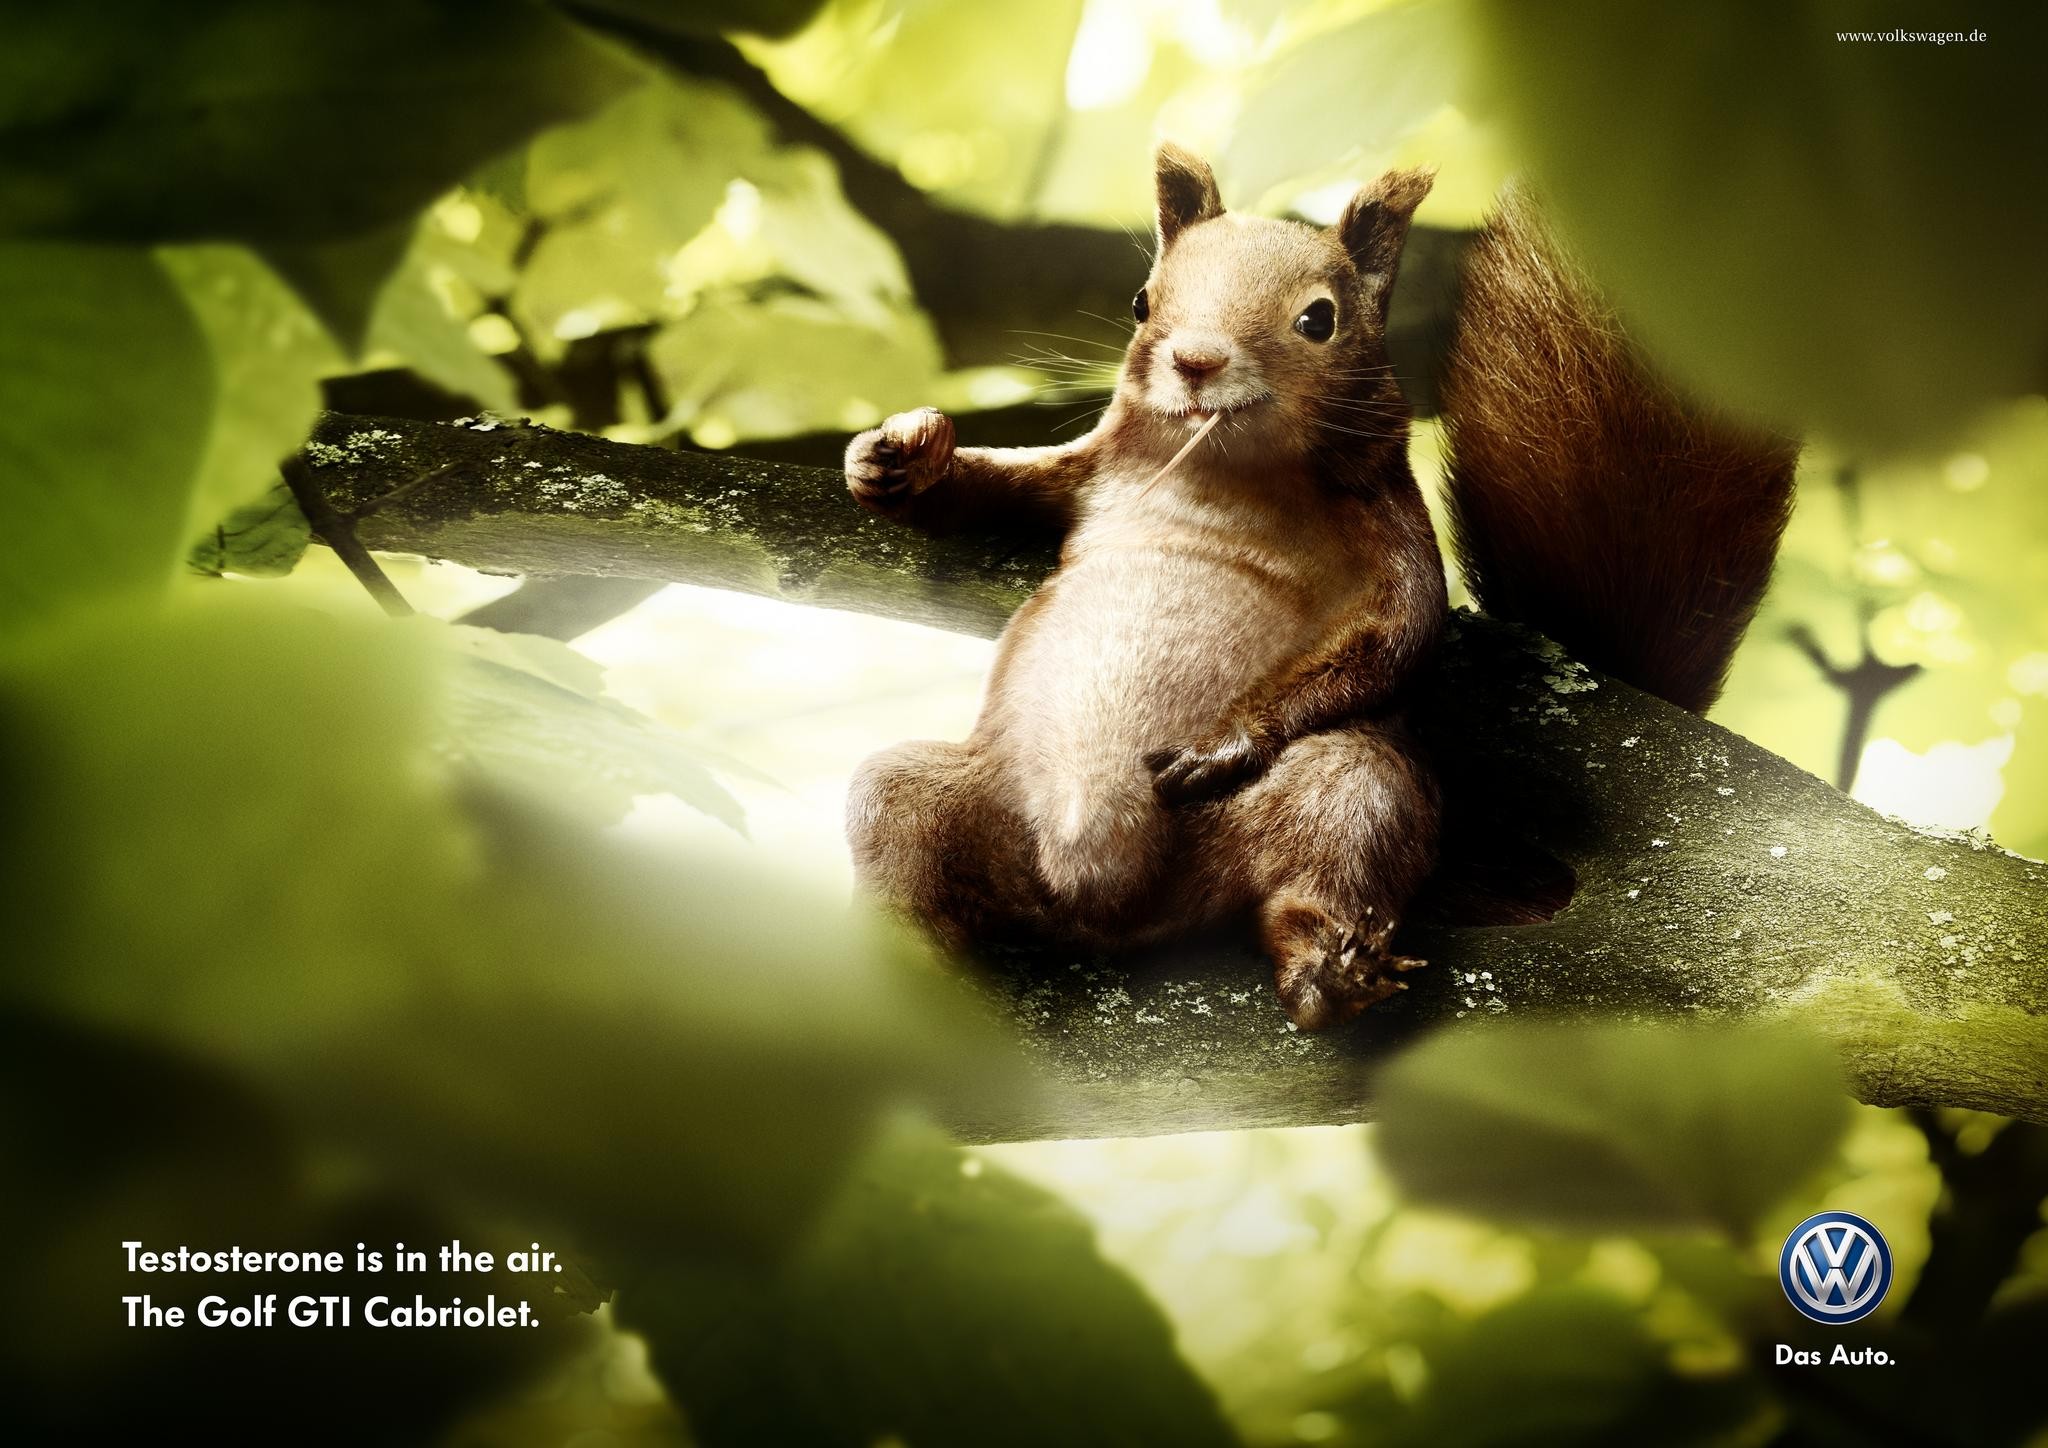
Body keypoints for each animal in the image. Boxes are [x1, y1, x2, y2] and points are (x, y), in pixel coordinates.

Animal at [842, 145, 1797, 1030]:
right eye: (1142, 303)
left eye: (1318, 318)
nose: (1196, 360)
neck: (1225, 477)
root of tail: (1105, 913)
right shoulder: (1089, 473)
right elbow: (1006, 489)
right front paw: (901, 457)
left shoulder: (1393, 534)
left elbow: (1396, 633)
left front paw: (1227, 738)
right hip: (931, 803)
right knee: (901, 832)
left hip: (1336, 798)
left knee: (1333, 848)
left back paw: (1327, 972)